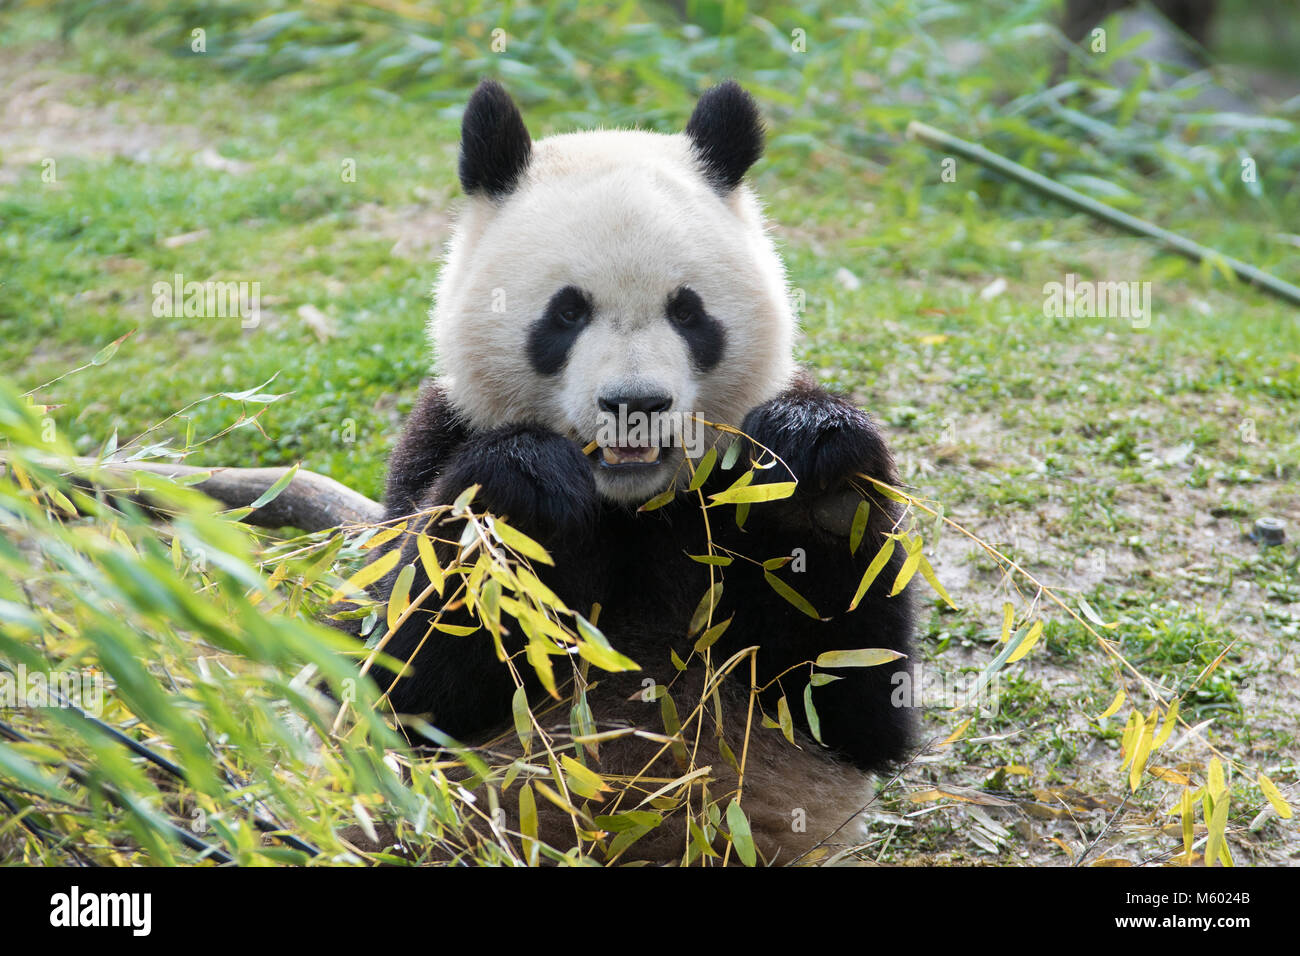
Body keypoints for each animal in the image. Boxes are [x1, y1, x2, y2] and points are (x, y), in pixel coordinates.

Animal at [354, 79, 916, 864]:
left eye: (687, 310)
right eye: (566, 312)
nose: (635, 404)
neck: (632, 504)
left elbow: (853, 709)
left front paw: (815, 472)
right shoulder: (439, 439)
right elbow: (407, 690)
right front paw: (523, 491)